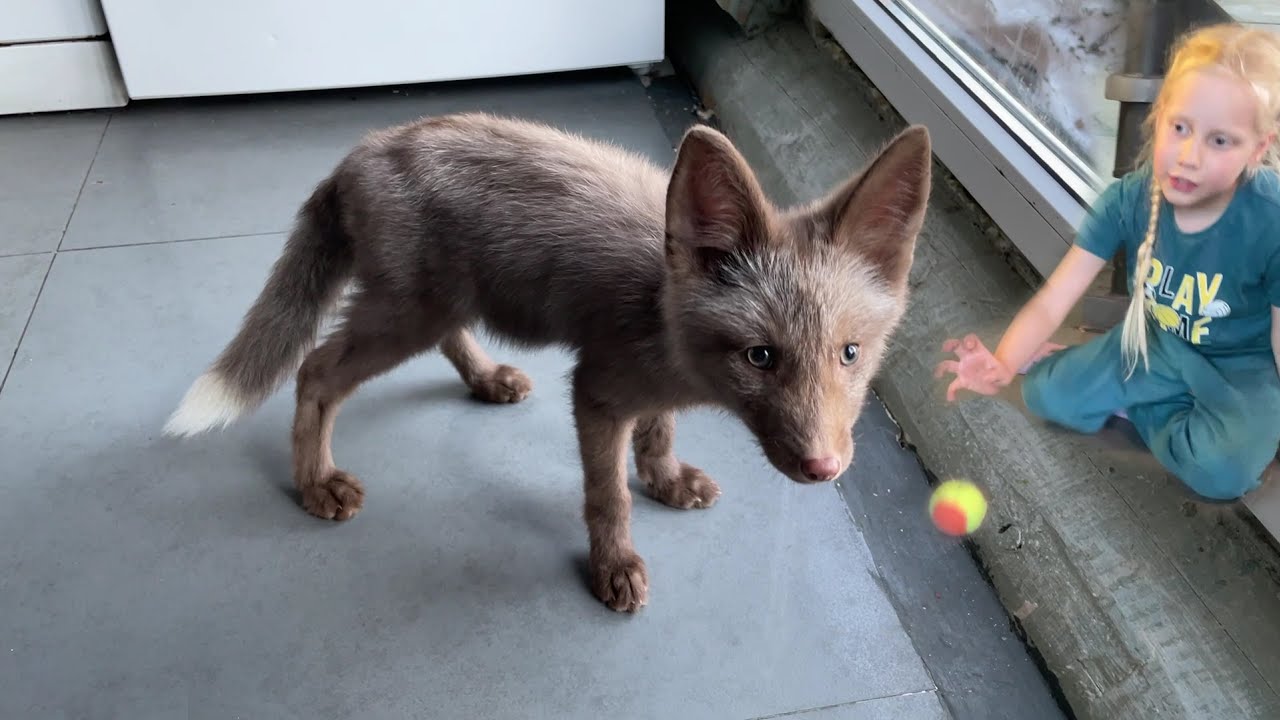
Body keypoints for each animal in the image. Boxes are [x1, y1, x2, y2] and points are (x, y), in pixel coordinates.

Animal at [163, 111, 932, 613]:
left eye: (850, 354)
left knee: (444, 338)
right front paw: (613, 567)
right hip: (405, 315)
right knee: (315, 372)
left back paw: (486, 378)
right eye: (761, 356)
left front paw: (667, 481)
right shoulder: (596, 390)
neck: (662, 311)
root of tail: (360, 151)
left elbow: (657, 438)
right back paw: (315, 482)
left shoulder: (646, 391)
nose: (824, 469)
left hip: (437, 303)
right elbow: (609, 497)